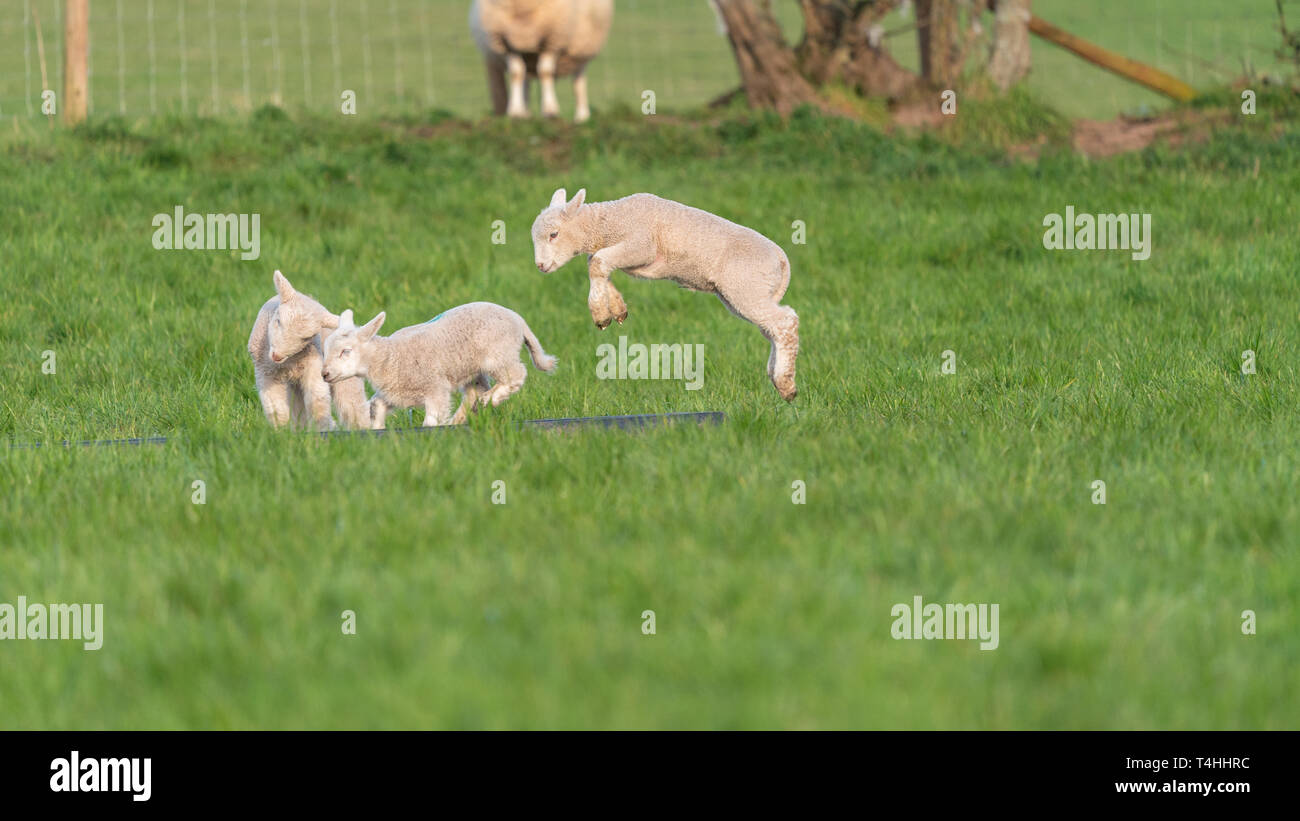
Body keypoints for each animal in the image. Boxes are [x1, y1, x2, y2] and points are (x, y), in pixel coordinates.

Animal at [247, 270, 369, 430]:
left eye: (306, 338)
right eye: (278, 321)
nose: (277, 355)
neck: (287, 362)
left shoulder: (314, 364)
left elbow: (317, 400)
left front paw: (321, 429)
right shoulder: (266, 372)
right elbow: (276, 408)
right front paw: (280, 431)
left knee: (353, 404)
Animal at [321, 302, 558, 428]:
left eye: (345, 351)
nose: (325, 374)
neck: (390, 356)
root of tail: (517, 318)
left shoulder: (434, 389)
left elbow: (431, 419)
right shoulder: (395, 391)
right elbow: (376, 406)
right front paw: (376, 428)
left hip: (499, 354)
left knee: (515, 375)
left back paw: (490, 399)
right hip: (471, 368)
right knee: (474, 391)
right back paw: (460, 418)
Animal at [469, 0, 614, 123]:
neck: (522, 7)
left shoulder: (552, 40)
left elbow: (545, 72)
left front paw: (551, 110)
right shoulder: (507, 43)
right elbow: (516, 74)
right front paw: (516, 112)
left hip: (581, 49)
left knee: (578, 82)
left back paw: (582, 116)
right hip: (527, 55)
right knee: (526, 79)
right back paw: (526, 112)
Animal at [530, 188, 800, 400]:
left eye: (553, 234)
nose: (540, 266)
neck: (609, 223)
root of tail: (781, 257)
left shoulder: (642, 245)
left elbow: (596, 261)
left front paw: (599, 314)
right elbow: (596, 262)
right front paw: (616, 309)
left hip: (745, 287)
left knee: (785, 321)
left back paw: (786, 384)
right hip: (752, 292)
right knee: (773, 329)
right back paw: (778, 377)